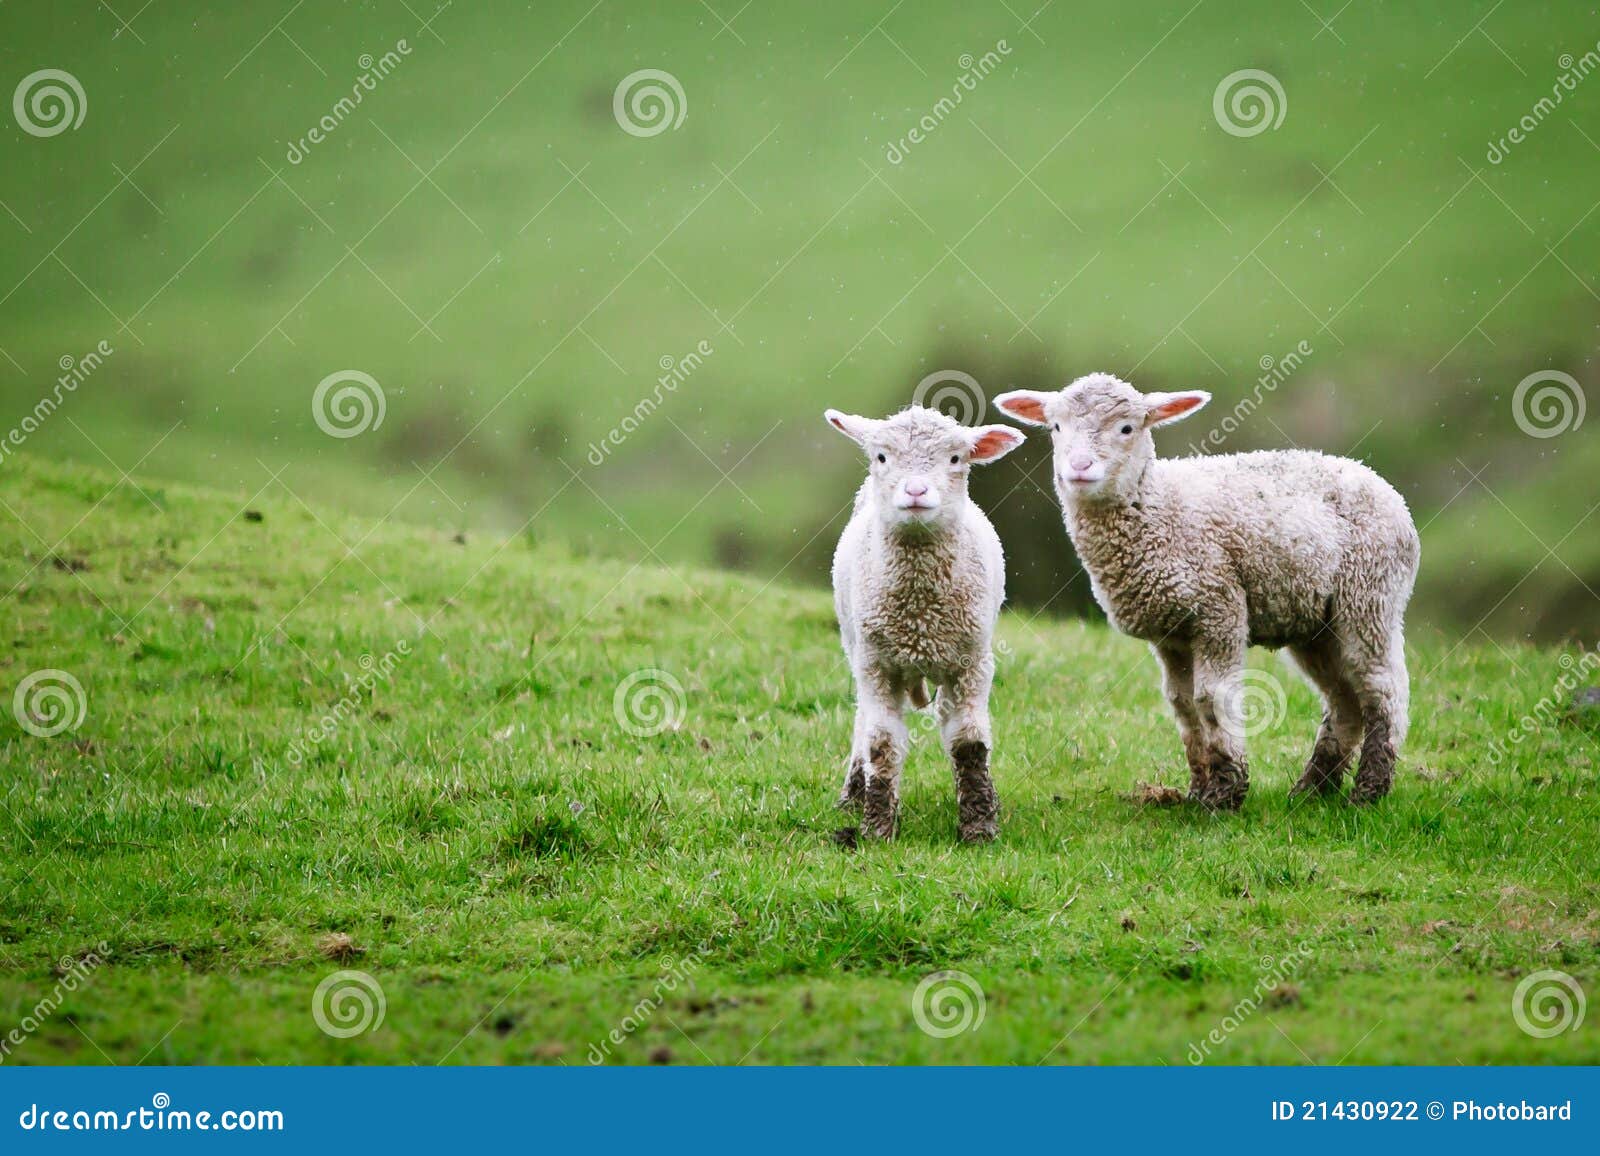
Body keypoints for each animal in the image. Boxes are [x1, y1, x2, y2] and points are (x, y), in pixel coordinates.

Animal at [825, 405, 1024, 841]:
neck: (920, 616)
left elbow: (969, 742)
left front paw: (979, 827)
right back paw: (854, 794)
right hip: (857, 646)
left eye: (956, 458)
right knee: (862, 721)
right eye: (882, 456)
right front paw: (876, 828)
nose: (916, 492)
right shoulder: (878, 664)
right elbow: (882, 744)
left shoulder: (972, 663)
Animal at [994, 374, 1419, 810]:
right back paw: (1312, 791)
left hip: (1369, 594)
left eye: (1127, 428)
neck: (1158, 509)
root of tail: (1380, 482)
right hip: (1316, 623)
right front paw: (1198, 791)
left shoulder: (1219, 607)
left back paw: (1368, 790)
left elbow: (1212, 699)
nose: (1079, 468)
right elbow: (1183, 705)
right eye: (1056, 427)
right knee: (1343, 701)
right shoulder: (1170, 633)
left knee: (1383, 689)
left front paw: (1226, 793)